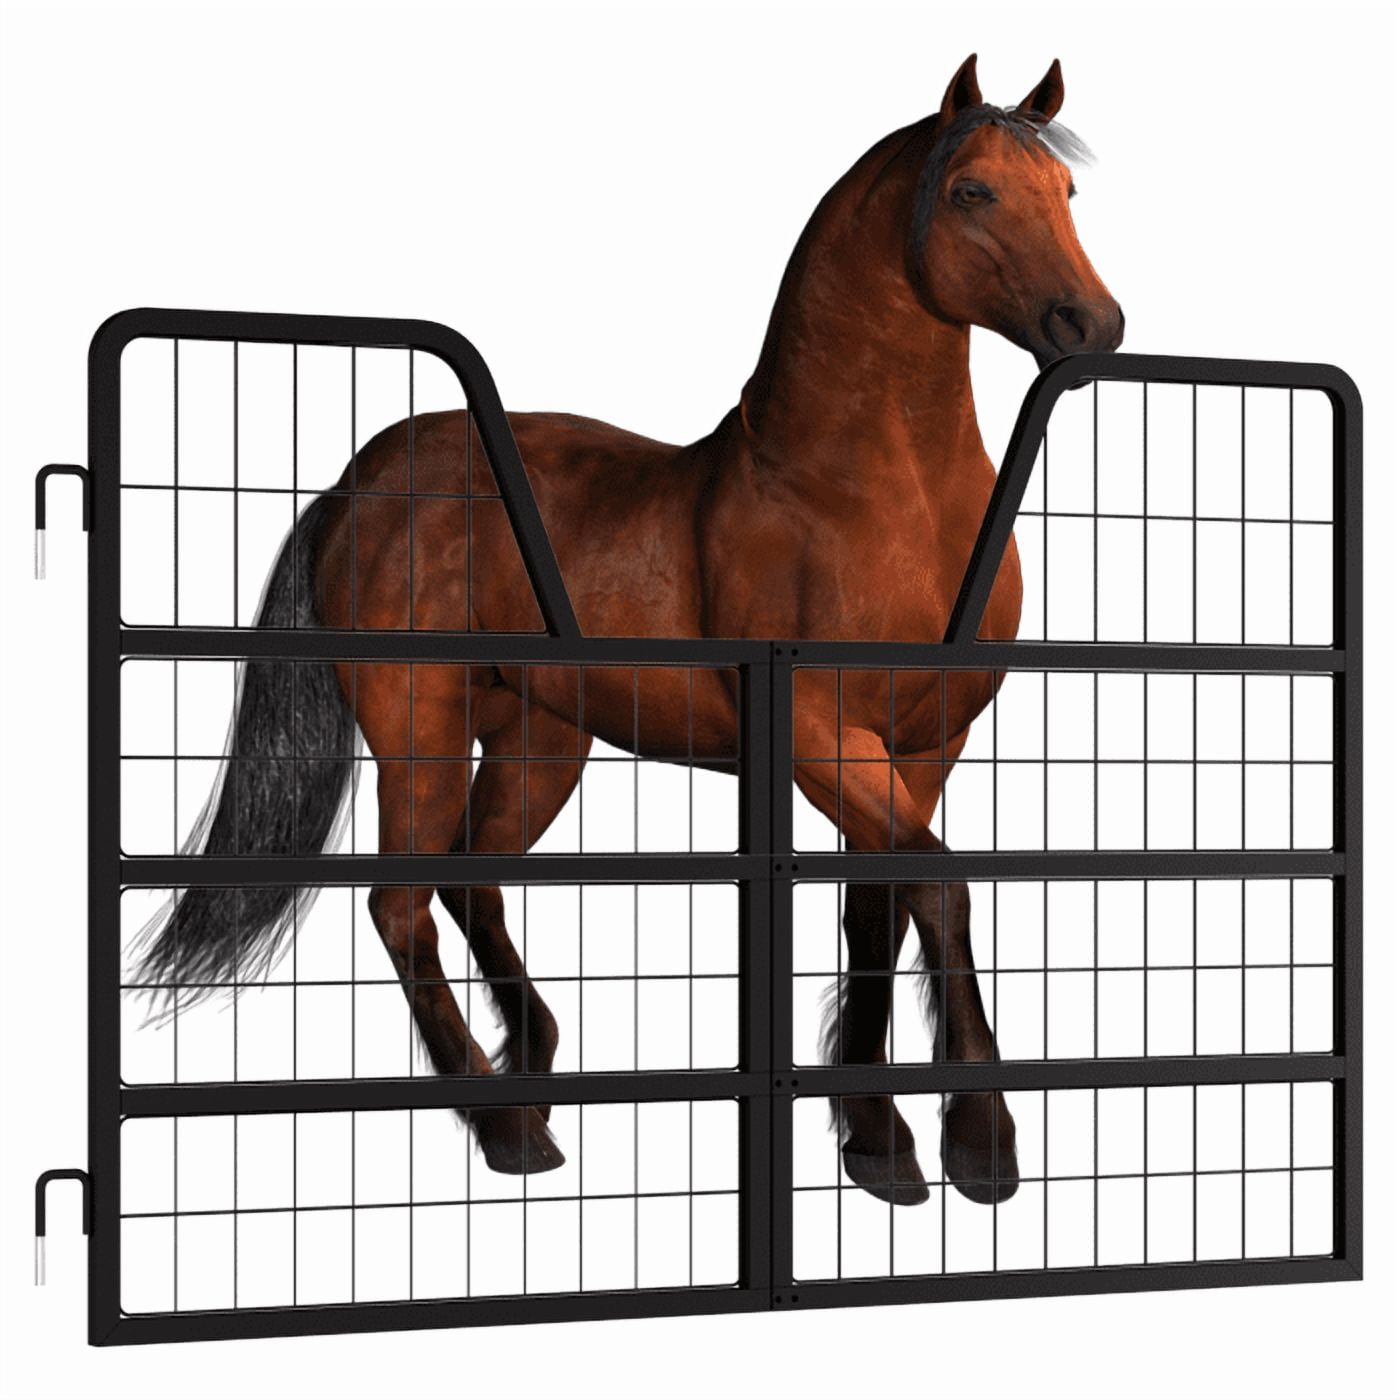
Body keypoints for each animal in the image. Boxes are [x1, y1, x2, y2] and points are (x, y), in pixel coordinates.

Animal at [139, 54, 1122, 1209]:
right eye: (971, 190)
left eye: (1066, 193)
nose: (1093, 326)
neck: (869, 496)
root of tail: (354, 485)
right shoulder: (821, 741)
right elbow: (941, 883)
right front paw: (979, 1140)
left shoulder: (926, 745)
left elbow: (880, 906)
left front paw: (876, 1141)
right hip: (417, 732)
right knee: (400, 903)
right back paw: (500, 1123)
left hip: (536, 741)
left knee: (473, 881)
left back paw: (533, 1080)